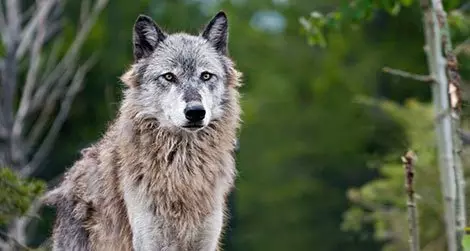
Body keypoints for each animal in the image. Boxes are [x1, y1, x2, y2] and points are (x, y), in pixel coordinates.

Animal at [45, 10, 242, 251]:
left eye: (205, 76)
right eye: (169, 76)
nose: (195, 112)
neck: (182, 167)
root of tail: (70, 176)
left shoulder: (206, 241)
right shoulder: (150, 241)